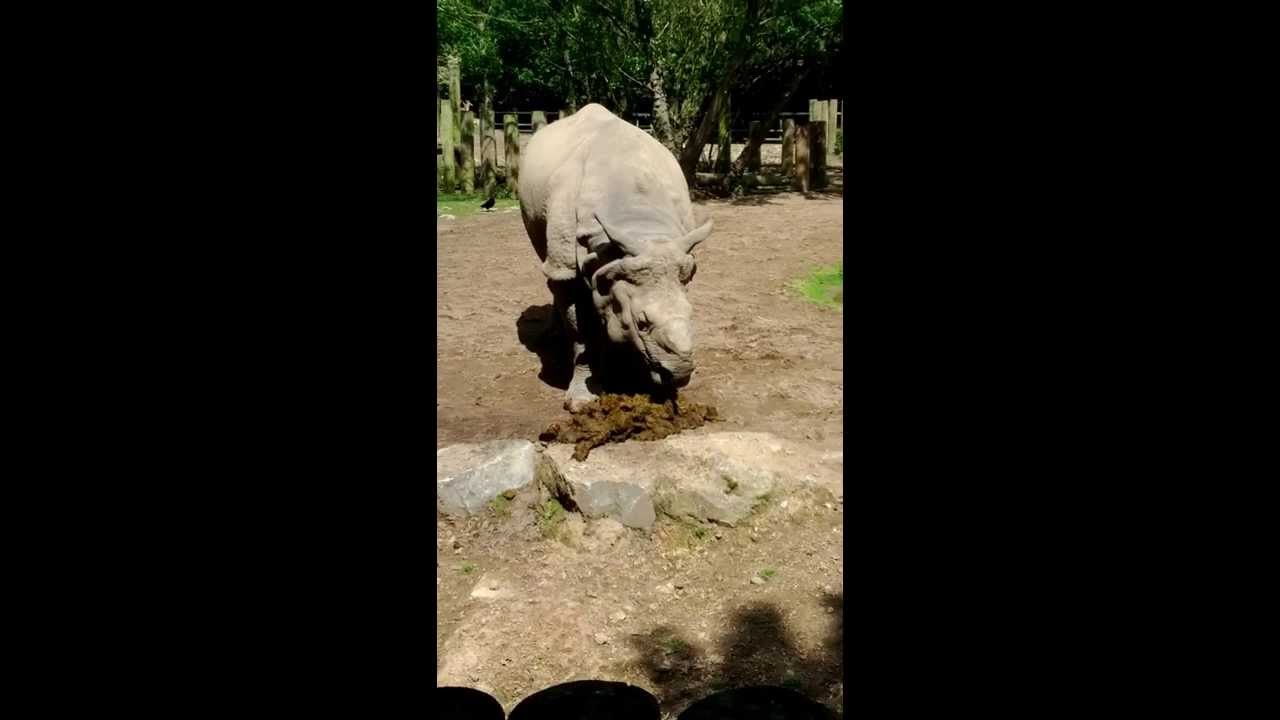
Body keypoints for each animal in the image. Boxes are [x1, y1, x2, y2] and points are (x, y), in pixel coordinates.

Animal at [519, 104, 713, 411]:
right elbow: (581, 333)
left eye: (693, 313)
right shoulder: (574, 262)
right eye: (641, 322)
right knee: (551, 270)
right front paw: (582, 402)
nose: (681, 373)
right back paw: (551, 335)